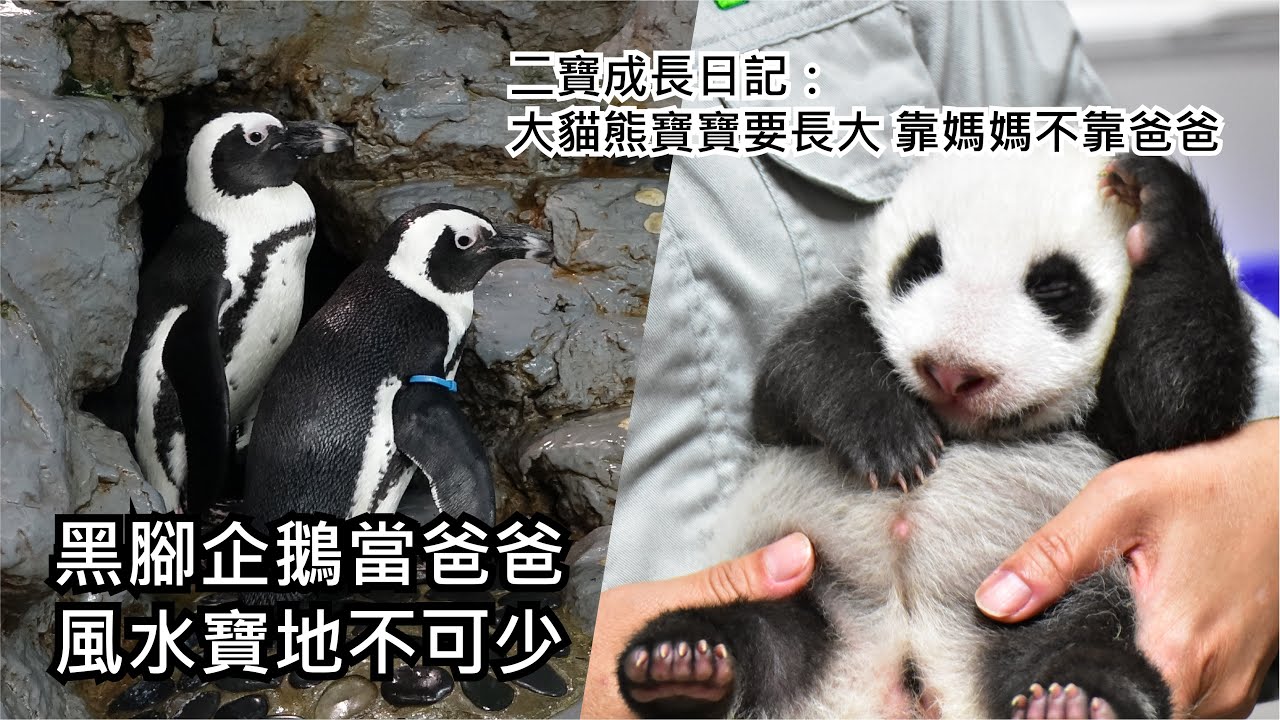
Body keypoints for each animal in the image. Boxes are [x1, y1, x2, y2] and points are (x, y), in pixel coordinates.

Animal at [615, 152, 1257, 719]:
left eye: (1054, 287)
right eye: (921, 261)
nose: (950, 371)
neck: (958, 426)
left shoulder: (1119, 423)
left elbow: (1178, 404)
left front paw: (1160, 198)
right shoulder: (810, 370)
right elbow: (795, 366)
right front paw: (891, 438)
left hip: (1047, 602)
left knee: (1087, 646)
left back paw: (1075, 701)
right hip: (804, 591)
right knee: (753, 631)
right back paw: (682, 664)